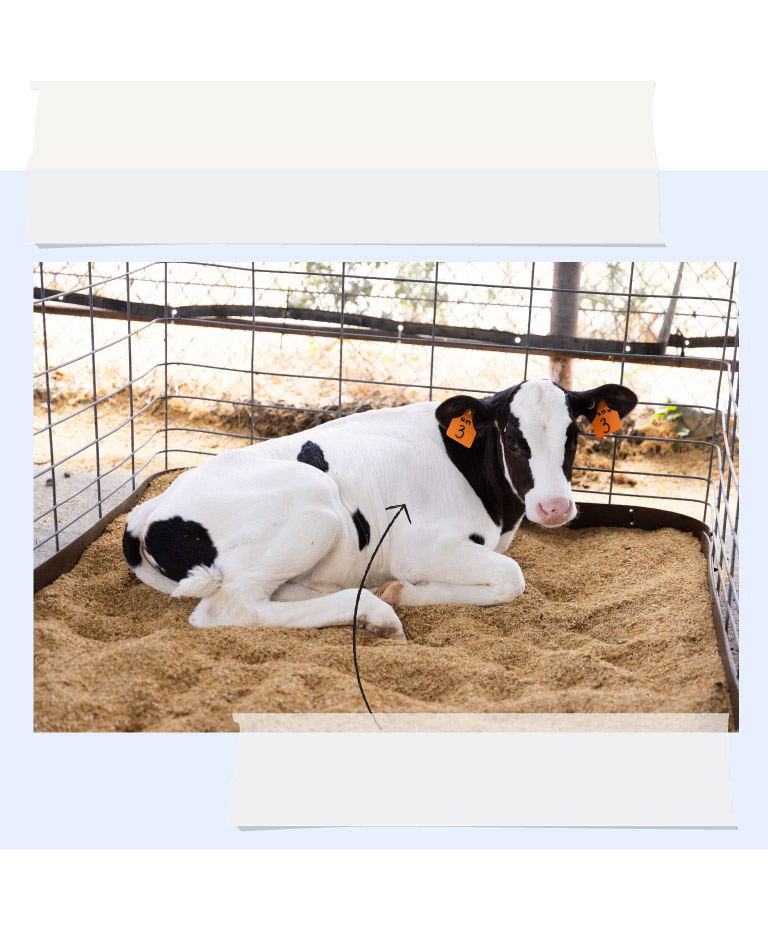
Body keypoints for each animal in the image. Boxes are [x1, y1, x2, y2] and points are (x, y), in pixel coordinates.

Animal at [123, 379, 637, 639]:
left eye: (573, 435)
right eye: (512, 438)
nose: (555, 507)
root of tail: (149, 510)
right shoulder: (420, 545)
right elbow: (512, 578)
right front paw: (403, 592)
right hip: (315, 503)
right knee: (232, 608)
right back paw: (376, 611)